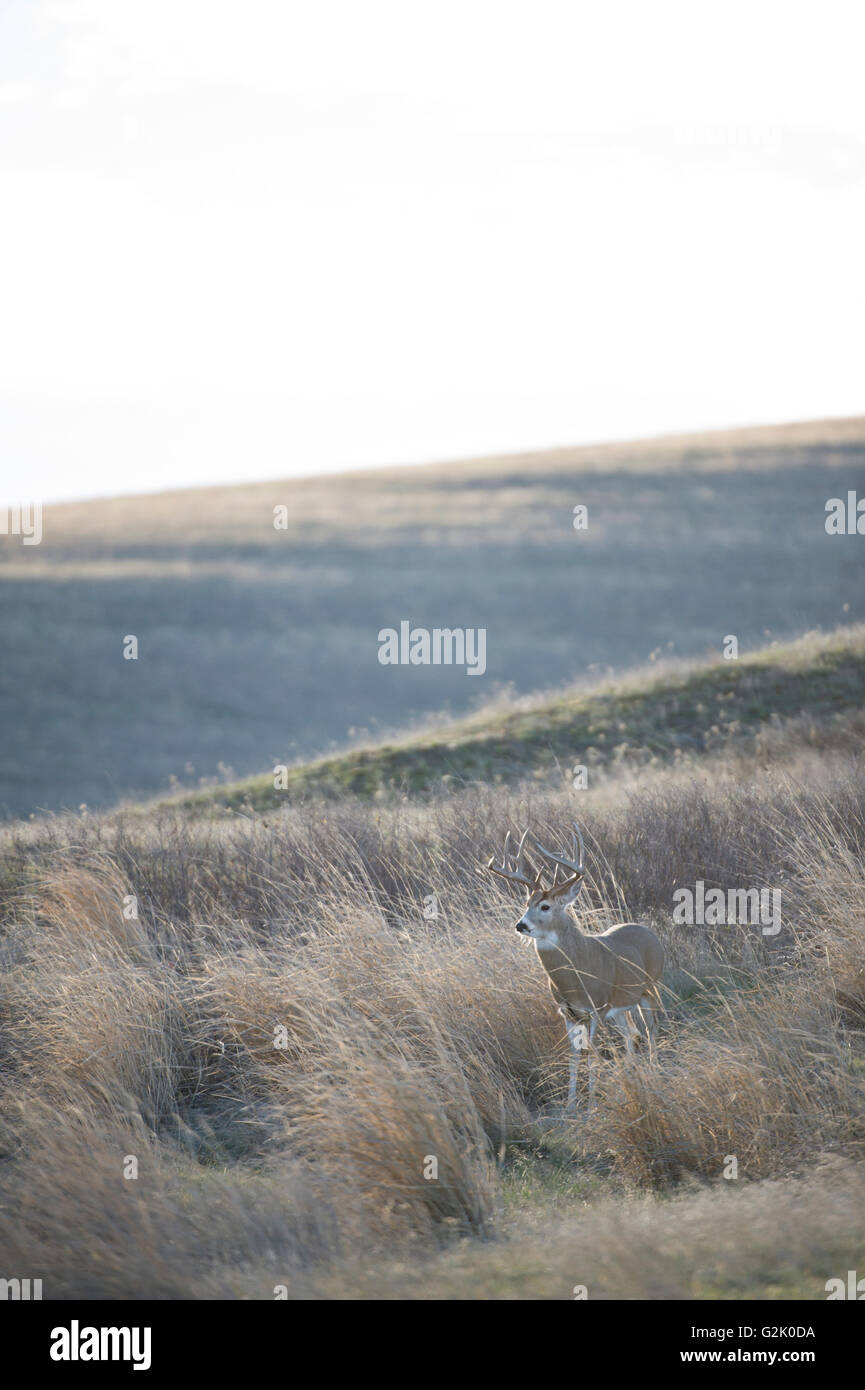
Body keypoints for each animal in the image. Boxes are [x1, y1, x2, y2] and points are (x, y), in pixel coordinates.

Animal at [485, 822, 664, 1109]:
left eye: (545, 906)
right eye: (526, 904)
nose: (520, 925)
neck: (574, 975)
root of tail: (650, 932)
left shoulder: (597, 1008)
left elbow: (592, 1053)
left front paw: (591, 1104)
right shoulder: (569, 1013)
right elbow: (573, 1056)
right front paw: (570, 1104)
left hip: (650, 987)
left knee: (651, 1028)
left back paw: (654, 1071)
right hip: (622, 1005)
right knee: (632, 1035)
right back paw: (631, 1076)